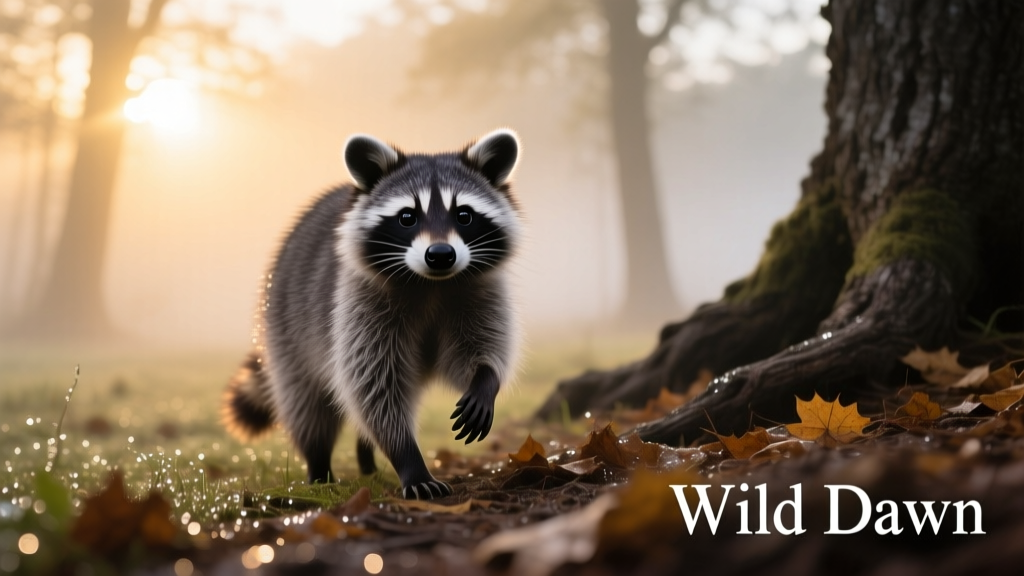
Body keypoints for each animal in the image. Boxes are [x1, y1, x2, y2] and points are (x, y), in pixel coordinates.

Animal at [222, 129, 522, 500]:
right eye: (407, 217)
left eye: (464, 215)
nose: (440, 254)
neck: (432, 284)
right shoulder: (359, 306)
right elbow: (373, 387)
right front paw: (408, 459)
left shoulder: (480, 292)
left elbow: (482, 348)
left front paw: (486, 379)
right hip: (286, 328)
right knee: (307, 405)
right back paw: (319, 467)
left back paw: (366, 457)